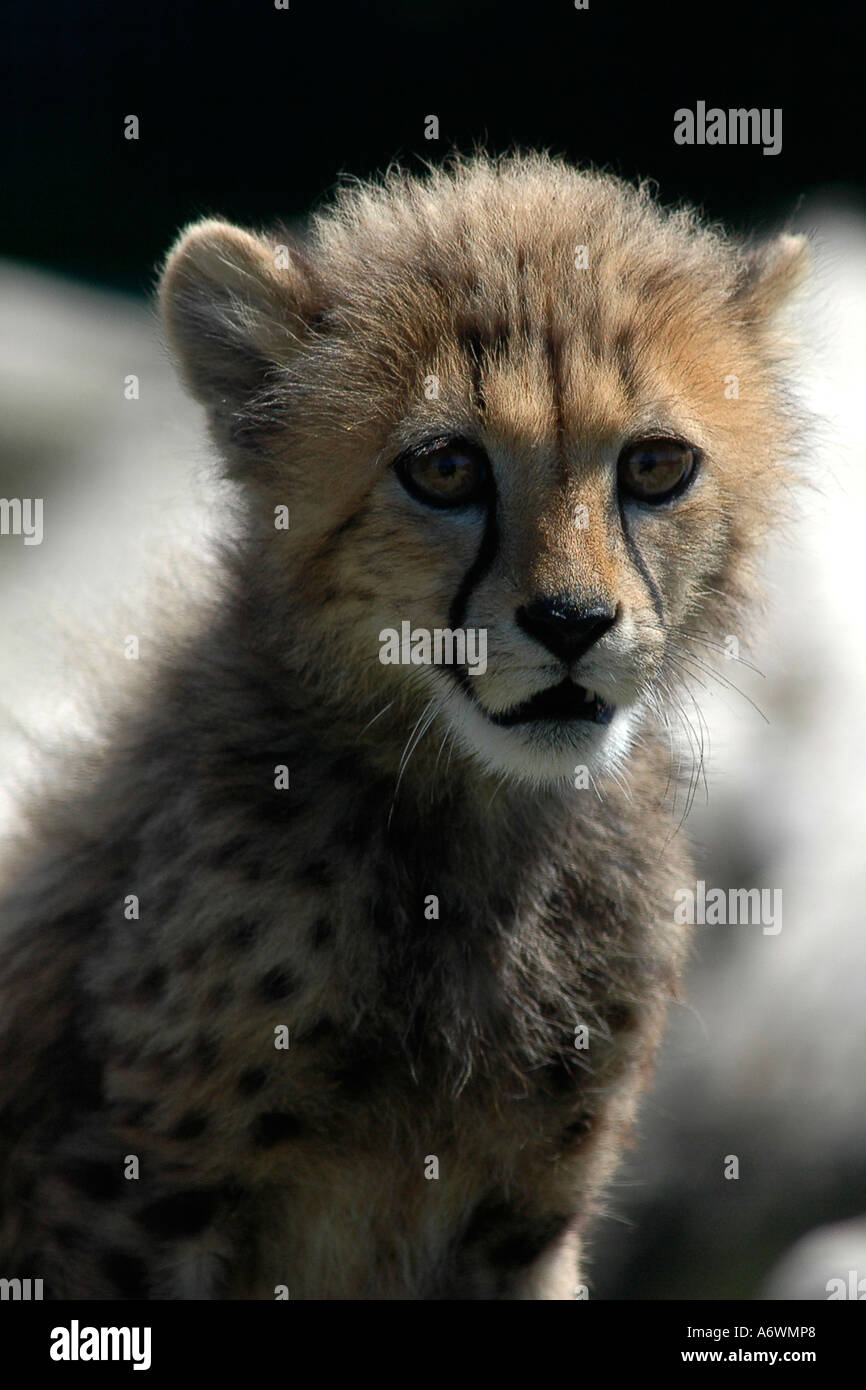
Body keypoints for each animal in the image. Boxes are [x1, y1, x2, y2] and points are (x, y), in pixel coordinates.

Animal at [0, 152, 807, 1299]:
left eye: (656, 466)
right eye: (444, 468)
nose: (572, 622)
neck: (472, 830)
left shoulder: (523, 1224)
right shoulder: (126, 1194)